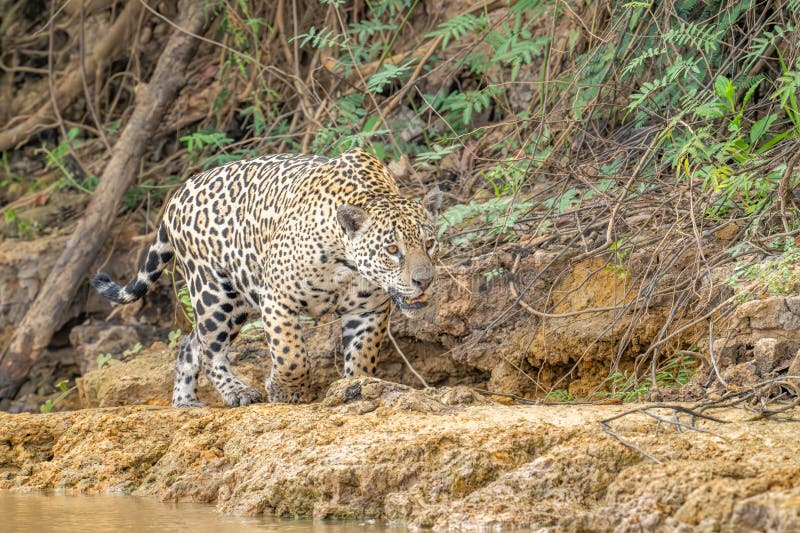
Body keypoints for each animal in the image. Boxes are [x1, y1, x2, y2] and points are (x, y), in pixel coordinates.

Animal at [91, 148, 441, 407]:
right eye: (392, 249)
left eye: (429, 243)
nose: (423, 281)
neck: (346, 265)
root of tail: (177, 195)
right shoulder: (277, 297)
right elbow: (291, 354)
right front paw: (285, 391)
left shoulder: (369, 310)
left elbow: (362, 355)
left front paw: (354, 387)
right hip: (215, 293)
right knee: (210, 350)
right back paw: (237, 392)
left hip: (237, 302)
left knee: (191, 344)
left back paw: (185, 402)